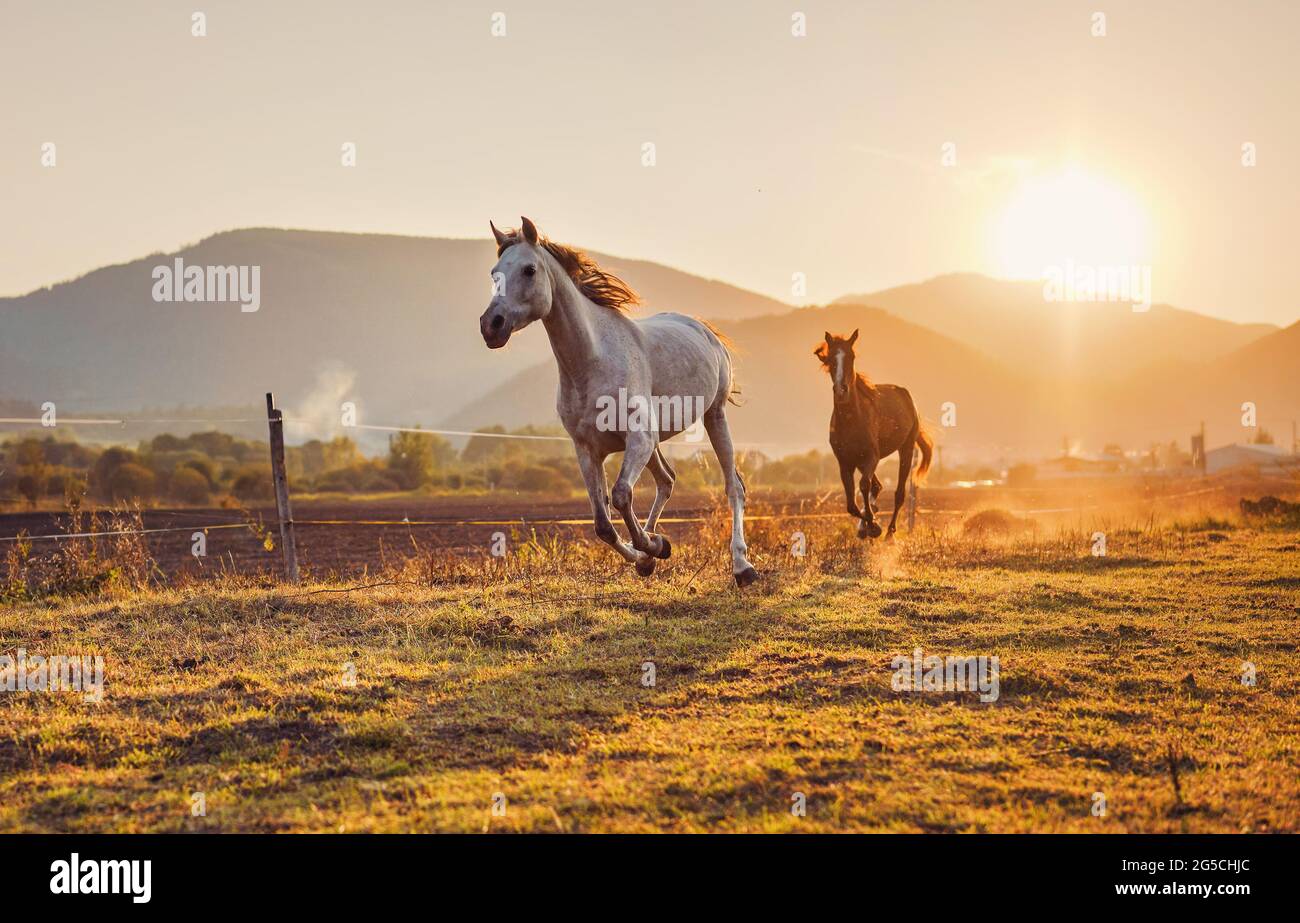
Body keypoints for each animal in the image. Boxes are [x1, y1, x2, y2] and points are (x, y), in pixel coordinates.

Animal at [479, 217, 759, 586]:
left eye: (529, 270)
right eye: (494, 273)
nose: (490, 326)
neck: (591, 361)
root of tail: (705, 330)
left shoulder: (637, 439)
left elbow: (622, 495)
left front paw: (654, 546)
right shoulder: (587, 449)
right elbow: (603, 523)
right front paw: (649, 555)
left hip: (714, 416)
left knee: (733, 487)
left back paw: (743, 567)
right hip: (656, 442)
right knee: (667, 480)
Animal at [815, 329, 933, 538]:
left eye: (852, 357)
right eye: (830, 358)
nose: (841, 391)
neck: (852, 419)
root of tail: (906, 395)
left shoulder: (871, 457)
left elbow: (863, 485)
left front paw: (874, 526)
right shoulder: (845, 462)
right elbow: (851, 505)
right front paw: (867, 526)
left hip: (906, 448)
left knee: (899, 493)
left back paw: (890, 533)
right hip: (862, 461)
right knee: (877, 486)